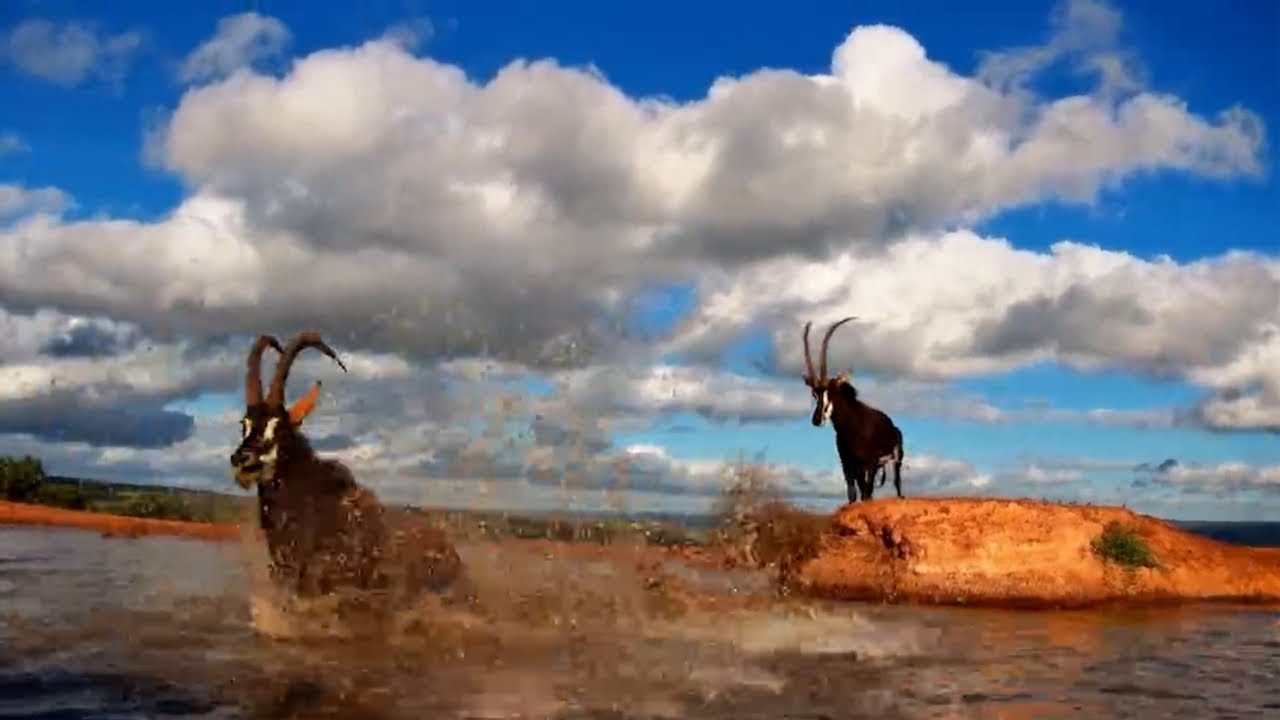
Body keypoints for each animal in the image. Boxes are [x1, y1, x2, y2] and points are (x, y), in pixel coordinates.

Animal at [801, 317, 905, 503]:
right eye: (814, 394)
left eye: (831, 391)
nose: (817, 419)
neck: (853, 427)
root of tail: (894, 426)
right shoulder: (848, 464)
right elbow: (853, 495)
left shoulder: (870, 463)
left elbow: (866, 494)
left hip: (896, 460)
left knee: (896, 483)